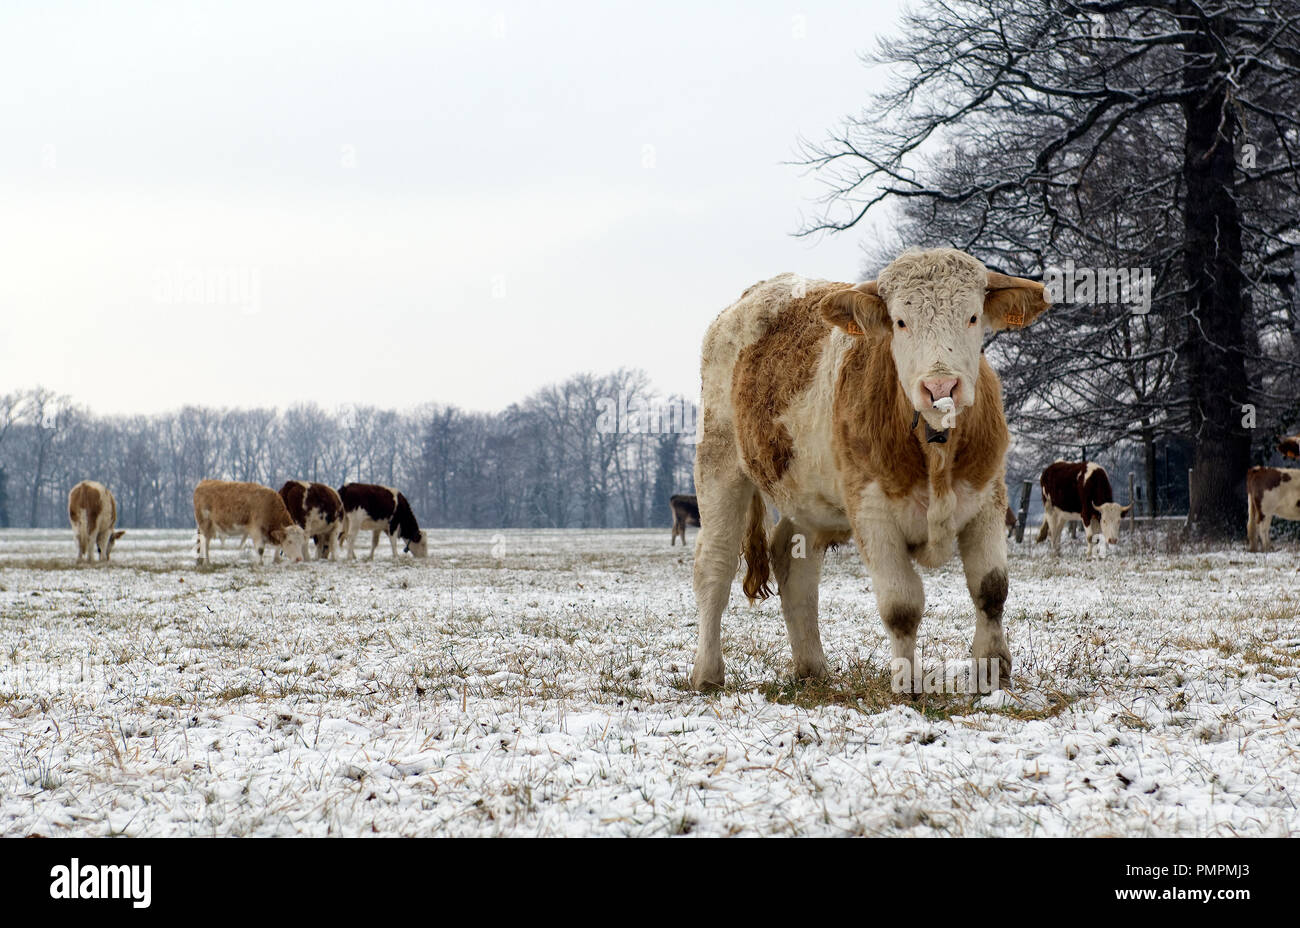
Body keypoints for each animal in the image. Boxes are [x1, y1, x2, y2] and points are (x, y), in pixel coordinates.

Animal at [688, 248, 1049, 691]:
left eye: (972, 316)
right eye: (900, 321)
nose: (941, 388)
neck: (934, 450)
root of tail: (752, 295)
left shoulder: (989, 498)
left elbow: (991, 589)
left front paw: (993, 673)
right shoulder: (871, 509)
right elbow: (901, 605)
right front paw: (909, 684)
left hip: (808, 497)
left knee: (793, 563)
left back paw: (812, 668)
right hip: (719, 462)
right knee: (715, 565)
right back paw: (708, 673)